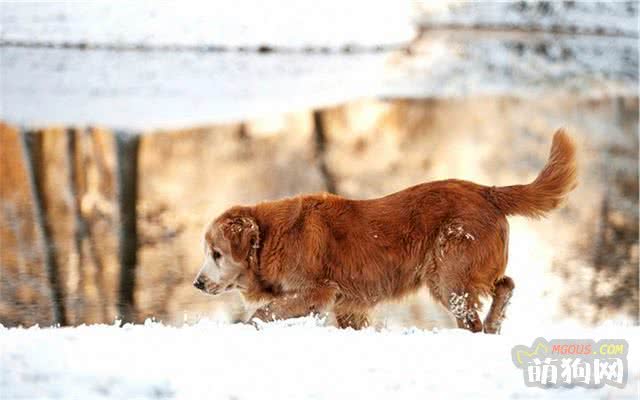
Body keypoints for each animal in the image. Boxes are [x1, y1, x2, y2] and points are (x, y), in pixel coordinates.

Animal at [192, 130, 576, 332]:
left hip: (449, 276)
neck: (271, 237)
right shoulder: (349, 306)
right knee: (505, 285)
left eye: (217, 254)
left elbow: (264, 312)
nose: (197, 283)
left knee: (474, 316)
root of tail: (486, 190)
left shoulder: (319, 291)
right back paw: (496, 323)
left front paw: (246, 327)